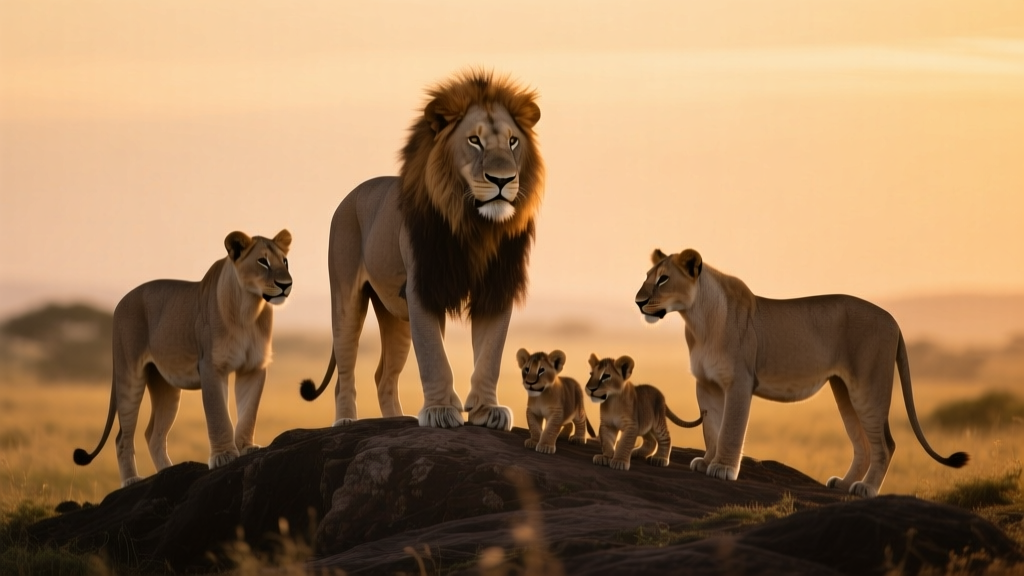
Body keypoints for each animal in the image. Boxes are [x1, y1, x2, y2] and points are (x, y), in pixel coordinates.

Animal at [73, 230, 293, 487]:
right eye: (262, 261)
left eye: (285, 261)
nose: (286, 285)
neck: (249, 308)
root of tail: (120, 302)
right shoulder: (211, 366)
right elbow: (218, 414)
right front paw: (224, 456)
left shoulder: (253, 367)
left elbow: (249, 412)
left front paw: (247, 447)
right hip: (129, 376)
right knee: (122, 437)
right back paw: (132, 480)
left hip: (165, 386)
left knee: (153, 434)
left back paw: (168, 472)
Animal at [300, 70, 544, 431]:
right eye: (474, 140)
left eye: (513, 141)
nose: (502, 180)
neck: (475, 225)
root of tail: (351, 194)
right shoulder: (422, 286)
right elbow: (433, 355)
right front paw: (441, 411)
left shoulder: (496, 287)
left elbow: (491, 354)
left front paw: (487, 411)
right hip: (346, 299)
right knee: (345, 373)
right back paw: (345, 421)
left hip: (395, 314)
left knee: (383, 376)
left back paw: (396, 419)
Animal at [635, 248, 969, 497]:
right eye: (647, 277)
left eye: (663, 279)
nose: (639, 301)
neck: (697, 321)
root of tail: (894, 320)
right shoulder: (706, 384)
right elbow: (711, 428)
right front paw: (706, 461)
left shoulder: (739, 382)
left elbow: (730, 428)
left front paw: (724, 468)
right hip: (844, 391)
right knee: (862, 443)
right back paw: (844, 484)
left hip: (868, 386)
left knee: (886, 444)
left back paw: (866, 489)